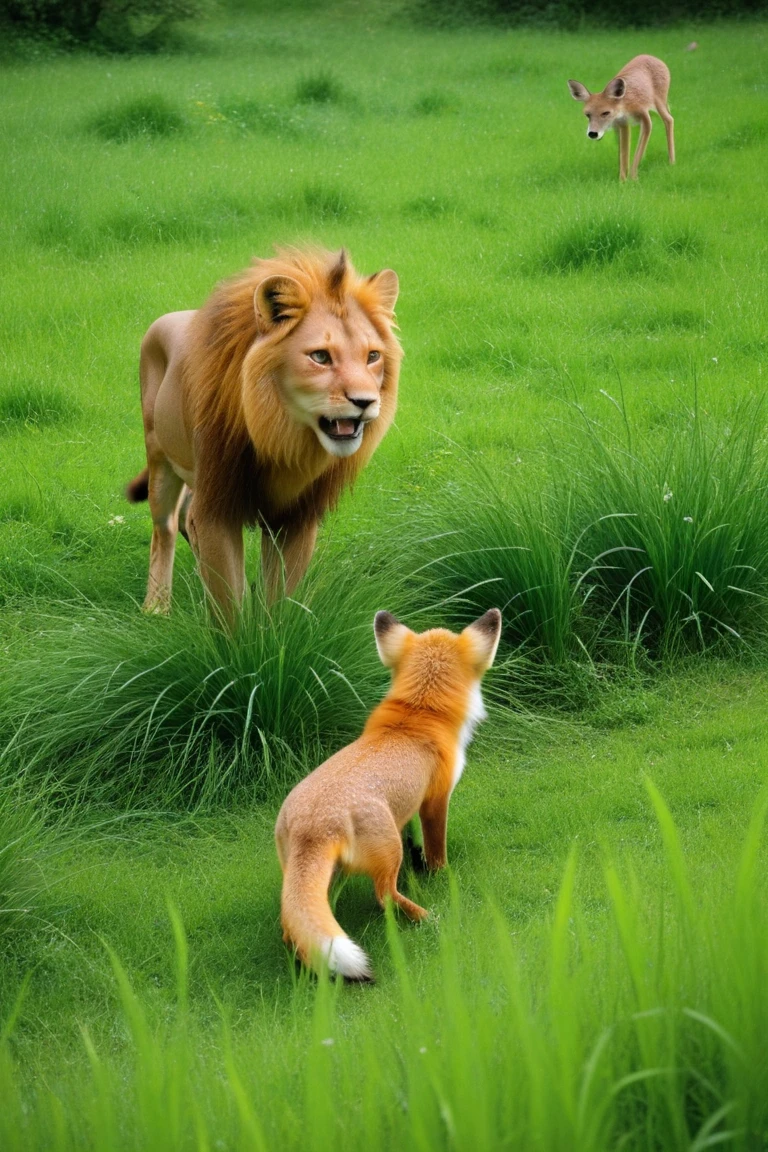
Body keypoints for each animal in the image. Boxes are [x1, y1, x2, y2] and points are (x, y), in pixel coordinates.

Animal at [125, 247, 401, 623]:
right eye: (320, 356)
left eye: (372, 356)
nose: (365, 402)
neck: (282, 438)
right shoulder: (217, 505)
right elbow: (229, 608)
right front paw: (240, 634)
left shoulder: (297, 517)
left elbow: (279, 598)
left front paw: (271, 629)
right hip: (159, 458)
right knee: (164, 528)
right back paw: (155, 607)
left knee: (185, 521)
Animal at [274, 607, 503, 981]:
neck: (417, 714)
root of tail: (315, 822)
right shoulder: (435, 800)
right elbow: (436, 847)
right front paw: (439, 872)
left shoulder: (407, 810)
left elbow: (415, 839)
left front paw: (419, 859)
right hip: (388, 853)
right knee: (384, 896)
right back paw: (425, 918)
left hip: (314, 873)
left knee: (293, 923)